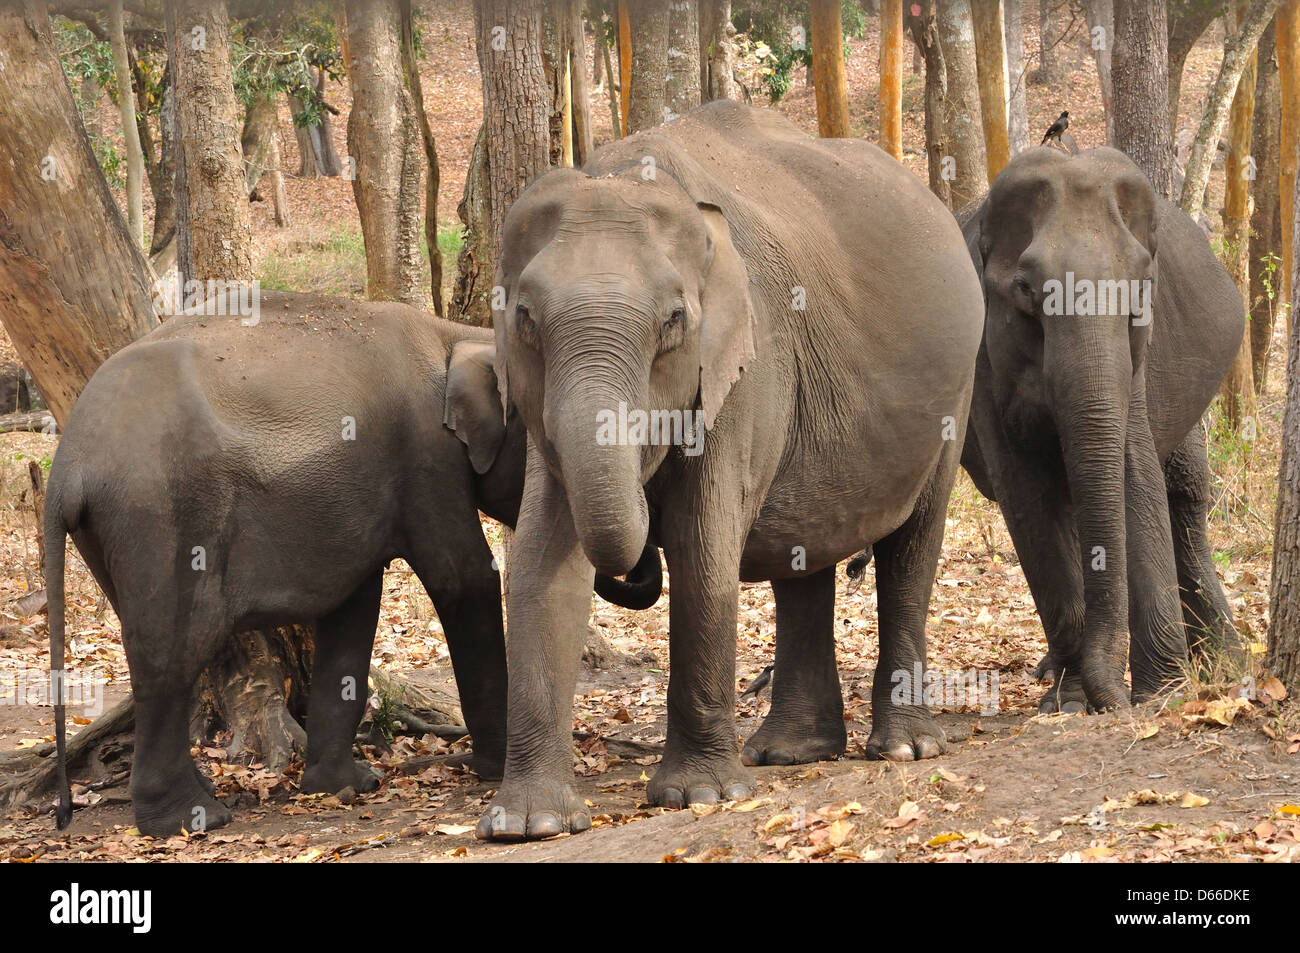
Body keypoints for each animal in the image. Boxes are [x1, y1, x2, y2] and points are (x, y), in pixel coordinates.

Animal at [45, 290, 659, 837]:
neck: (456, 336)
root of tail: (66, 468)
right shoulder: (427, 455)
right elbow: (464, 578)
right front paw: (494, 768)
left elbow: (354, 609)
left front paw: (346, 787)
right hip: (159, 517)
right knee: (171, 656)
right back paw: (192, 820)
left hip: (112, 535)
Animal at [476, 100, 985, 841]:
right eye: (525, 321)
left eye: (672, 323)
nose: (633, 566)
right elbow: (542, 561)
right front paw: (528, 824)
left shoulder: (743, 366)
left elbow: (702, 547)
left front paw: (700, 796)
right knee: (806, 553)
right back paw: (790, 752)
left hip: (956, 391)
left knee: (912, 546)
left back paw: (903, 749)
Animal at [957, 146, 1243, 713]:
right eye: (1025, 291)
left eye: (1143, 289)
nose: (1113, 700)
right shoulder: (981, 361)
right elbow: (1024, 495)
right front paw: (1069, 702)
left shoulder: (1140, 363)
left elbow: (1138, 473)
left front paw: (1163, 692)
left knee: (1184, 495)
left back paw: (1227, 661)